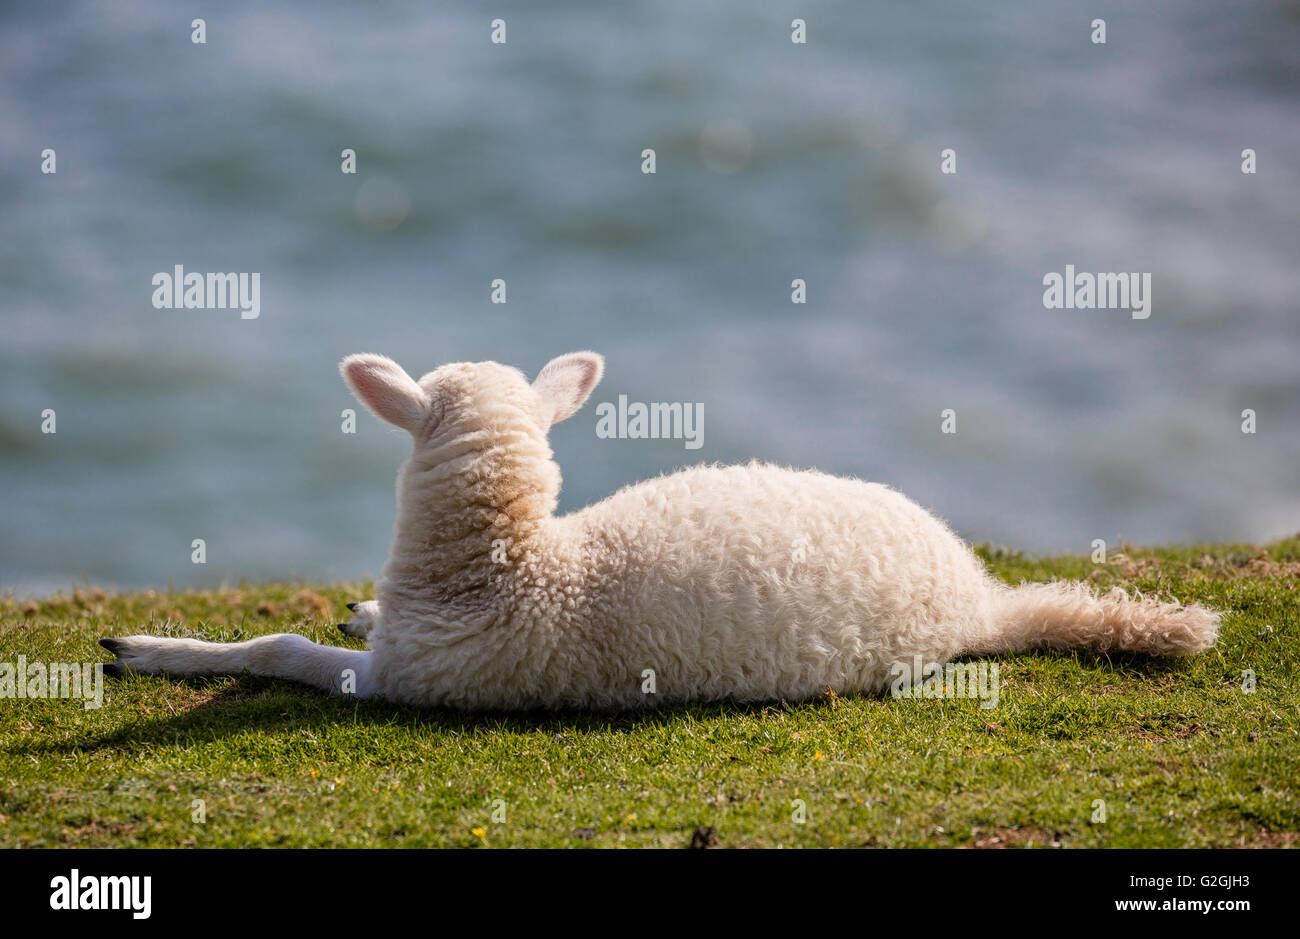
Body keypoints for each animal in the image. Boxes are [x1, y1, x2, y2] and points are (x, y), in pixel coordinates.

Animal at [100, 351, 1220, 709]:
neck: (519, 566)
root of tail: (982, 600)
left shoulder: (403, 681)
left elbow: (279, 649)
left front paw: (151, 649)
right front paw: (361, 603)